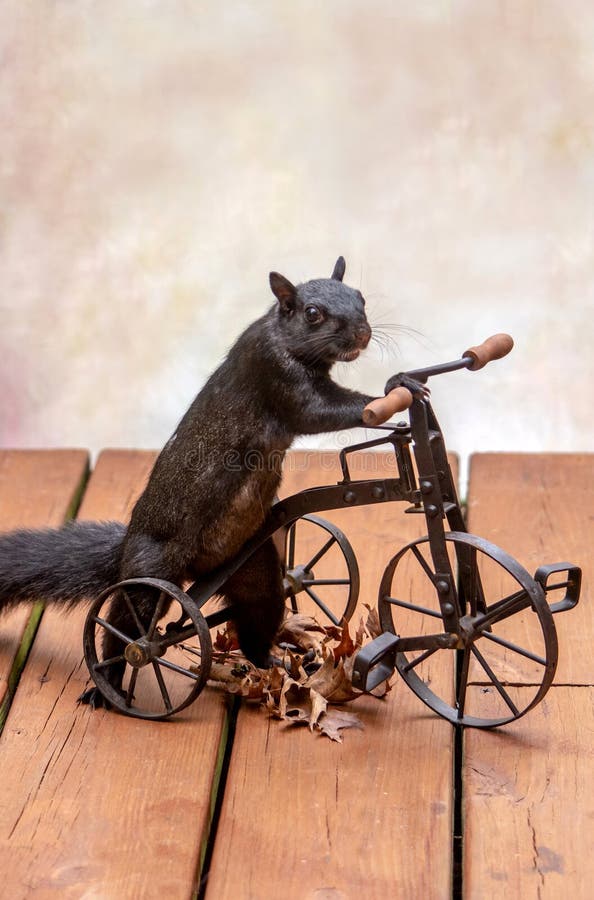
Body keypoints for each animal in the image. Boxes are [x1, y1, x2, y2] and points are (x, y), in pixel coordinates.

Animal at [0, 256, 416, 705]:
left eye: (361, 298)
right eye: (312, 313)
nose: (363, 334)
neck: (284, 339)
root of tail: (127, 544)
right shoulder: (275, 375)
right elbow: (319, 411)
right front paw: (392, 393)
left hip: (255, 573)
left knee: (256, 618)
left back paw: (270, 663)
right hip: (151, 576)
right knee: (124, 630)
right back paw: (105, 687)